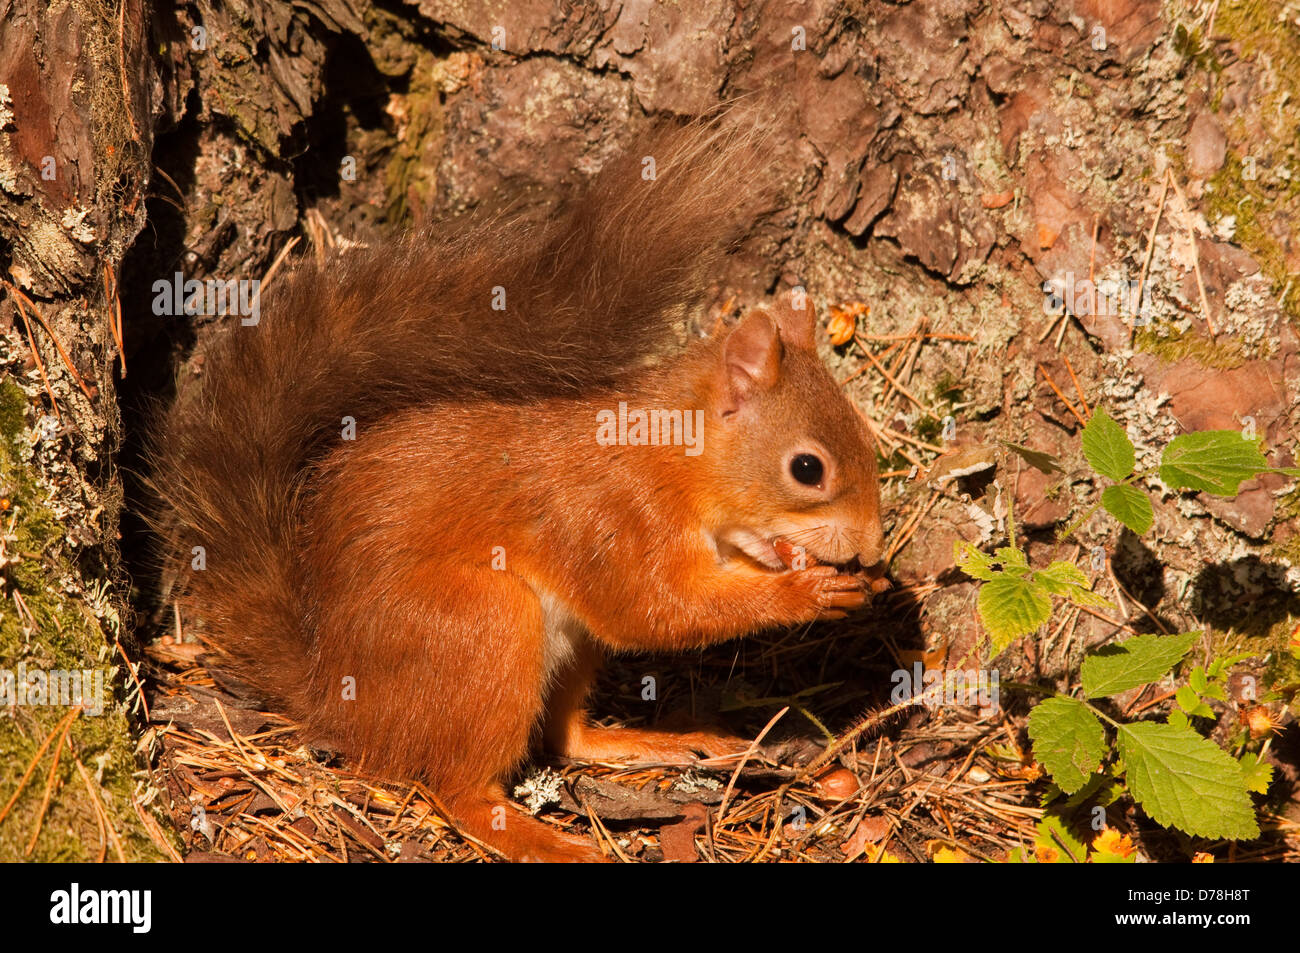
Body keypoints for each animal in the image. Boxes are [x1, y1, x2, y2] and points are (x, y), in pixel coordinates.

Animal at [150, 111, 887, 862]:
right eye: (808, 468)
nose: (872, 545)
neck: (668, 457)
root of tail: (335, 693)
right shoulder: (613, 516)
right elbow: (654, 609)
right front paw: (805, 591)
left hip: (560, 648)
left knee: (567, 736)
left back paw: (659, 742)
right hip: (486, 624)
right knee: (459, 788)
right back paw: (550, 840)